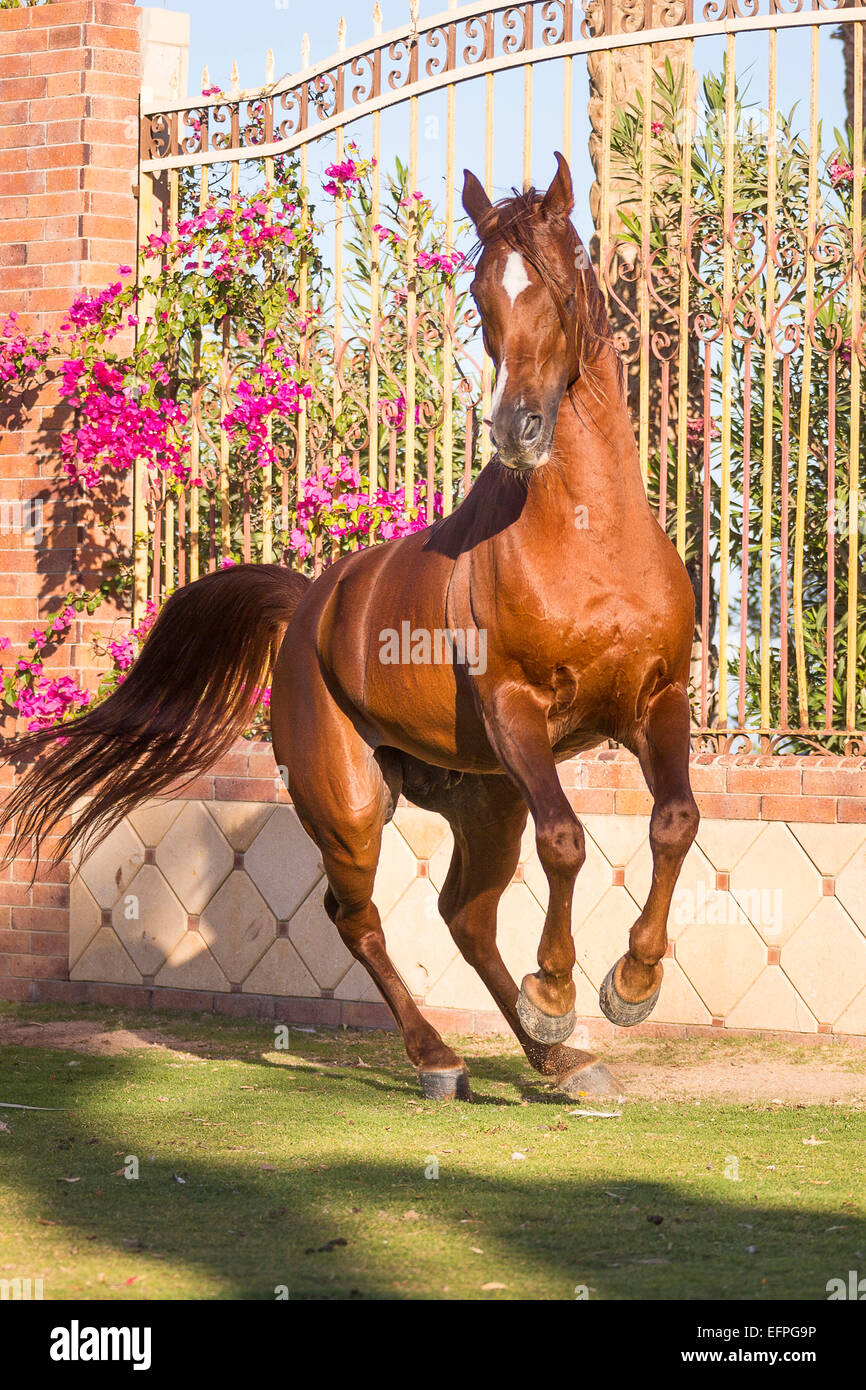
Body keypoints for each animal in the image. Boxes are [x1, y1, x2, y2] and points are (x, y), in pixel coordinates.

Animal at [2, 153, 698, 1102]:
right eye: (481, 295)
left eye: (560, 284)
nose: (516, 429)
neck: (591, 539)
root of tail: (305, 608)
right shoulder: (518, 714)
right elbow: (566, 841)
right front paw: (560, 991)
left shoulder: (656, 703)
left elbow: (674, 822)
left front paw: (629, 987)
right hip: (352, 801)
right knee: (357, 915)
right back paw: (444, 1057)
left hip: (482, 797)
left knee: (464, 917)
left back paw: (558, 1059)